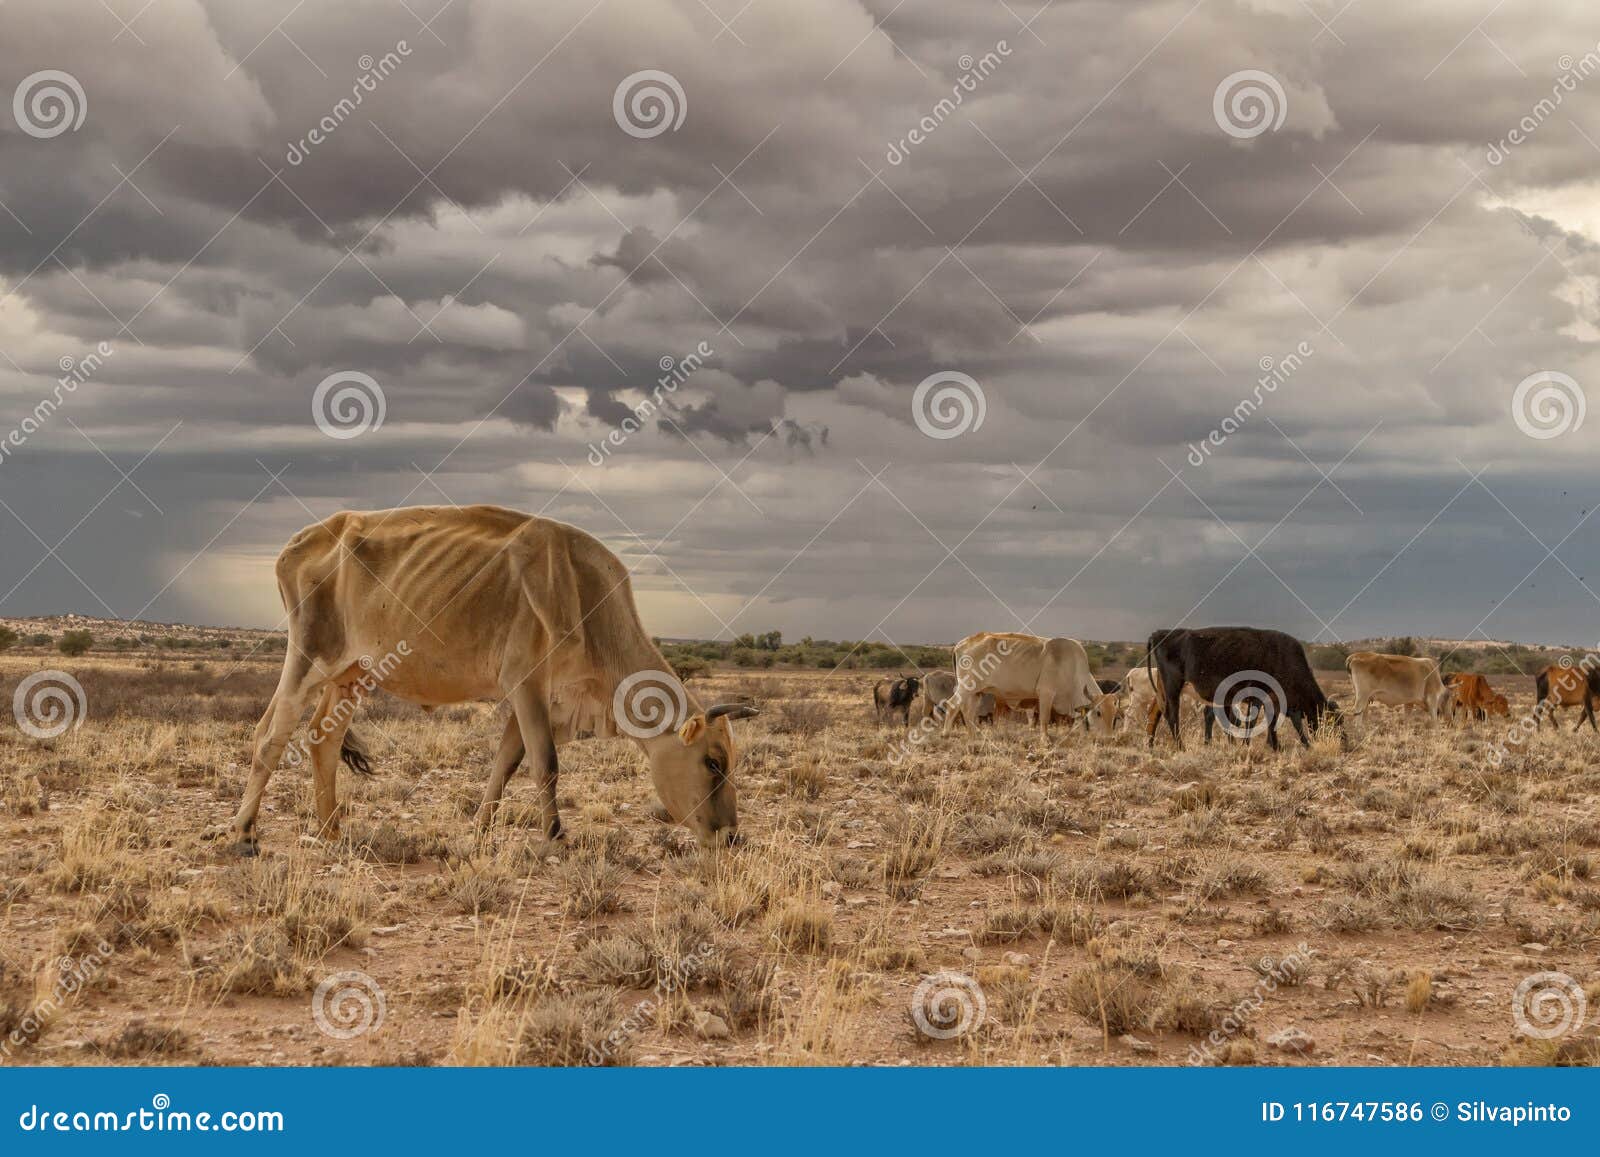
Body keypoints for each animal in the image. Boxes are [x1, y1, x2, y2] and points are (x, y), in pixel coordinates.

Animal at [223, 505, 759, 854]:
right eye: (713, 762)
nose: (731, 836)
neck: (586, 596)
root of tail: (298, 542)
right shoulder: (527, 684)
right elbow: (546, 763)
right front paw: (554, 839)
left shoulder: (543, 700)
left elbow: (505, 763)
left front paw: (480, 831)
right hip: (308, 657)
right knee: (270, 736)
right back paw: (245, 832)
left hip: (350, 676)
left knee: (323, 740)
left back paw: (331, 830)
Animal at [943, 632, 1104, 739]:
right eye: (1099, 713)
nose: (1106, 738)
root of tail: (960, 645)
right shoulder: (1046, 693)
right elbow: (1044, 719)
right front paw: (1045, 740)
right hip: (966, 687)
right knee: (953, 705)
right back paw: (946, 733)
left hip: (976, 692)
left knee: (968, 711)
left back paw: (974, 735)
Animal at [1147, 627, 1339, 750]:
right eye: (1334, 722)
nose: (1342, 746)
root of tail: (1161, 632)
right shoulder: (1258, 695)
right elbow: (1254, 721)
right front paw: (1248, 744)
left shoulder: (1275, 699)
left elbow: (1274, 721)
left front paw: (1275, 745)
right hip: (1172, 687)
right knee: (1172, 715)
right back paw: (1181, 747)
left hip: (1163, 688)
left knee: (1155, 712)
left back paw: (1150, 745)